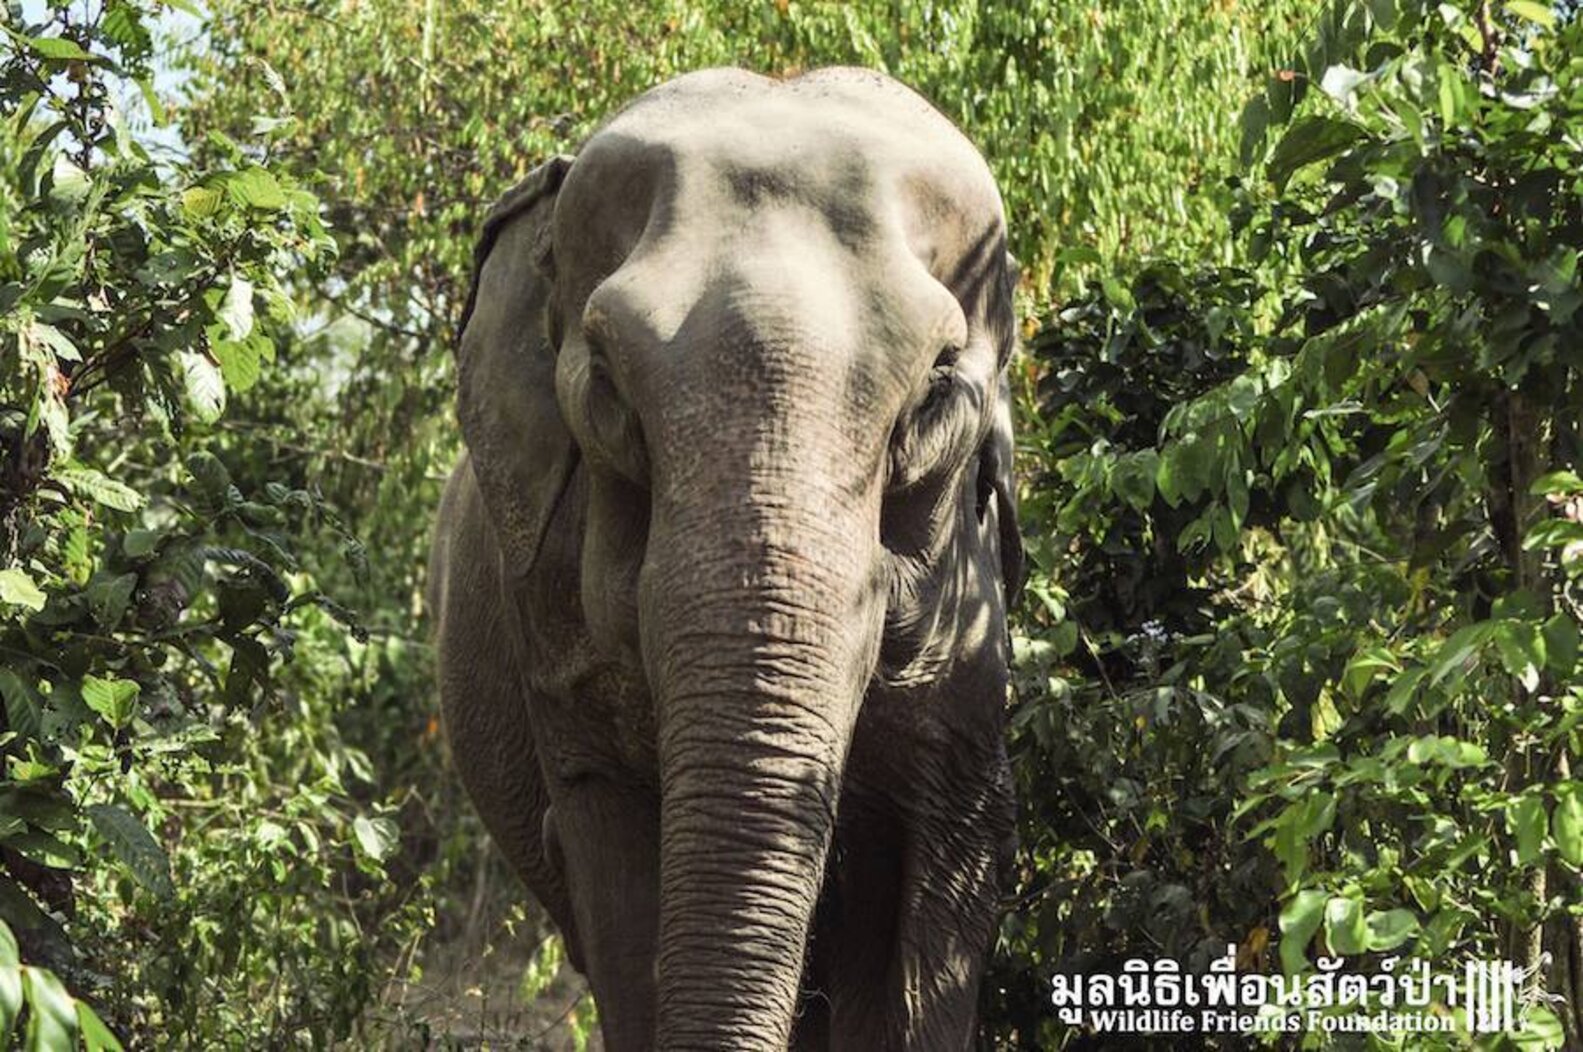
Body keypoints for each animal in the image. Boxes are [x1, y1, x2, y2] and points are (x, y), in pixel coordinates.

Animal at [427, 67, 1023, 1051]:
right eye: (605, 384)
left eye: (935, 388)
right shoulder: (556, 648)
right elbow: (618, 881)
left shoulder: (967, 654)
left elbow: (930, 908)